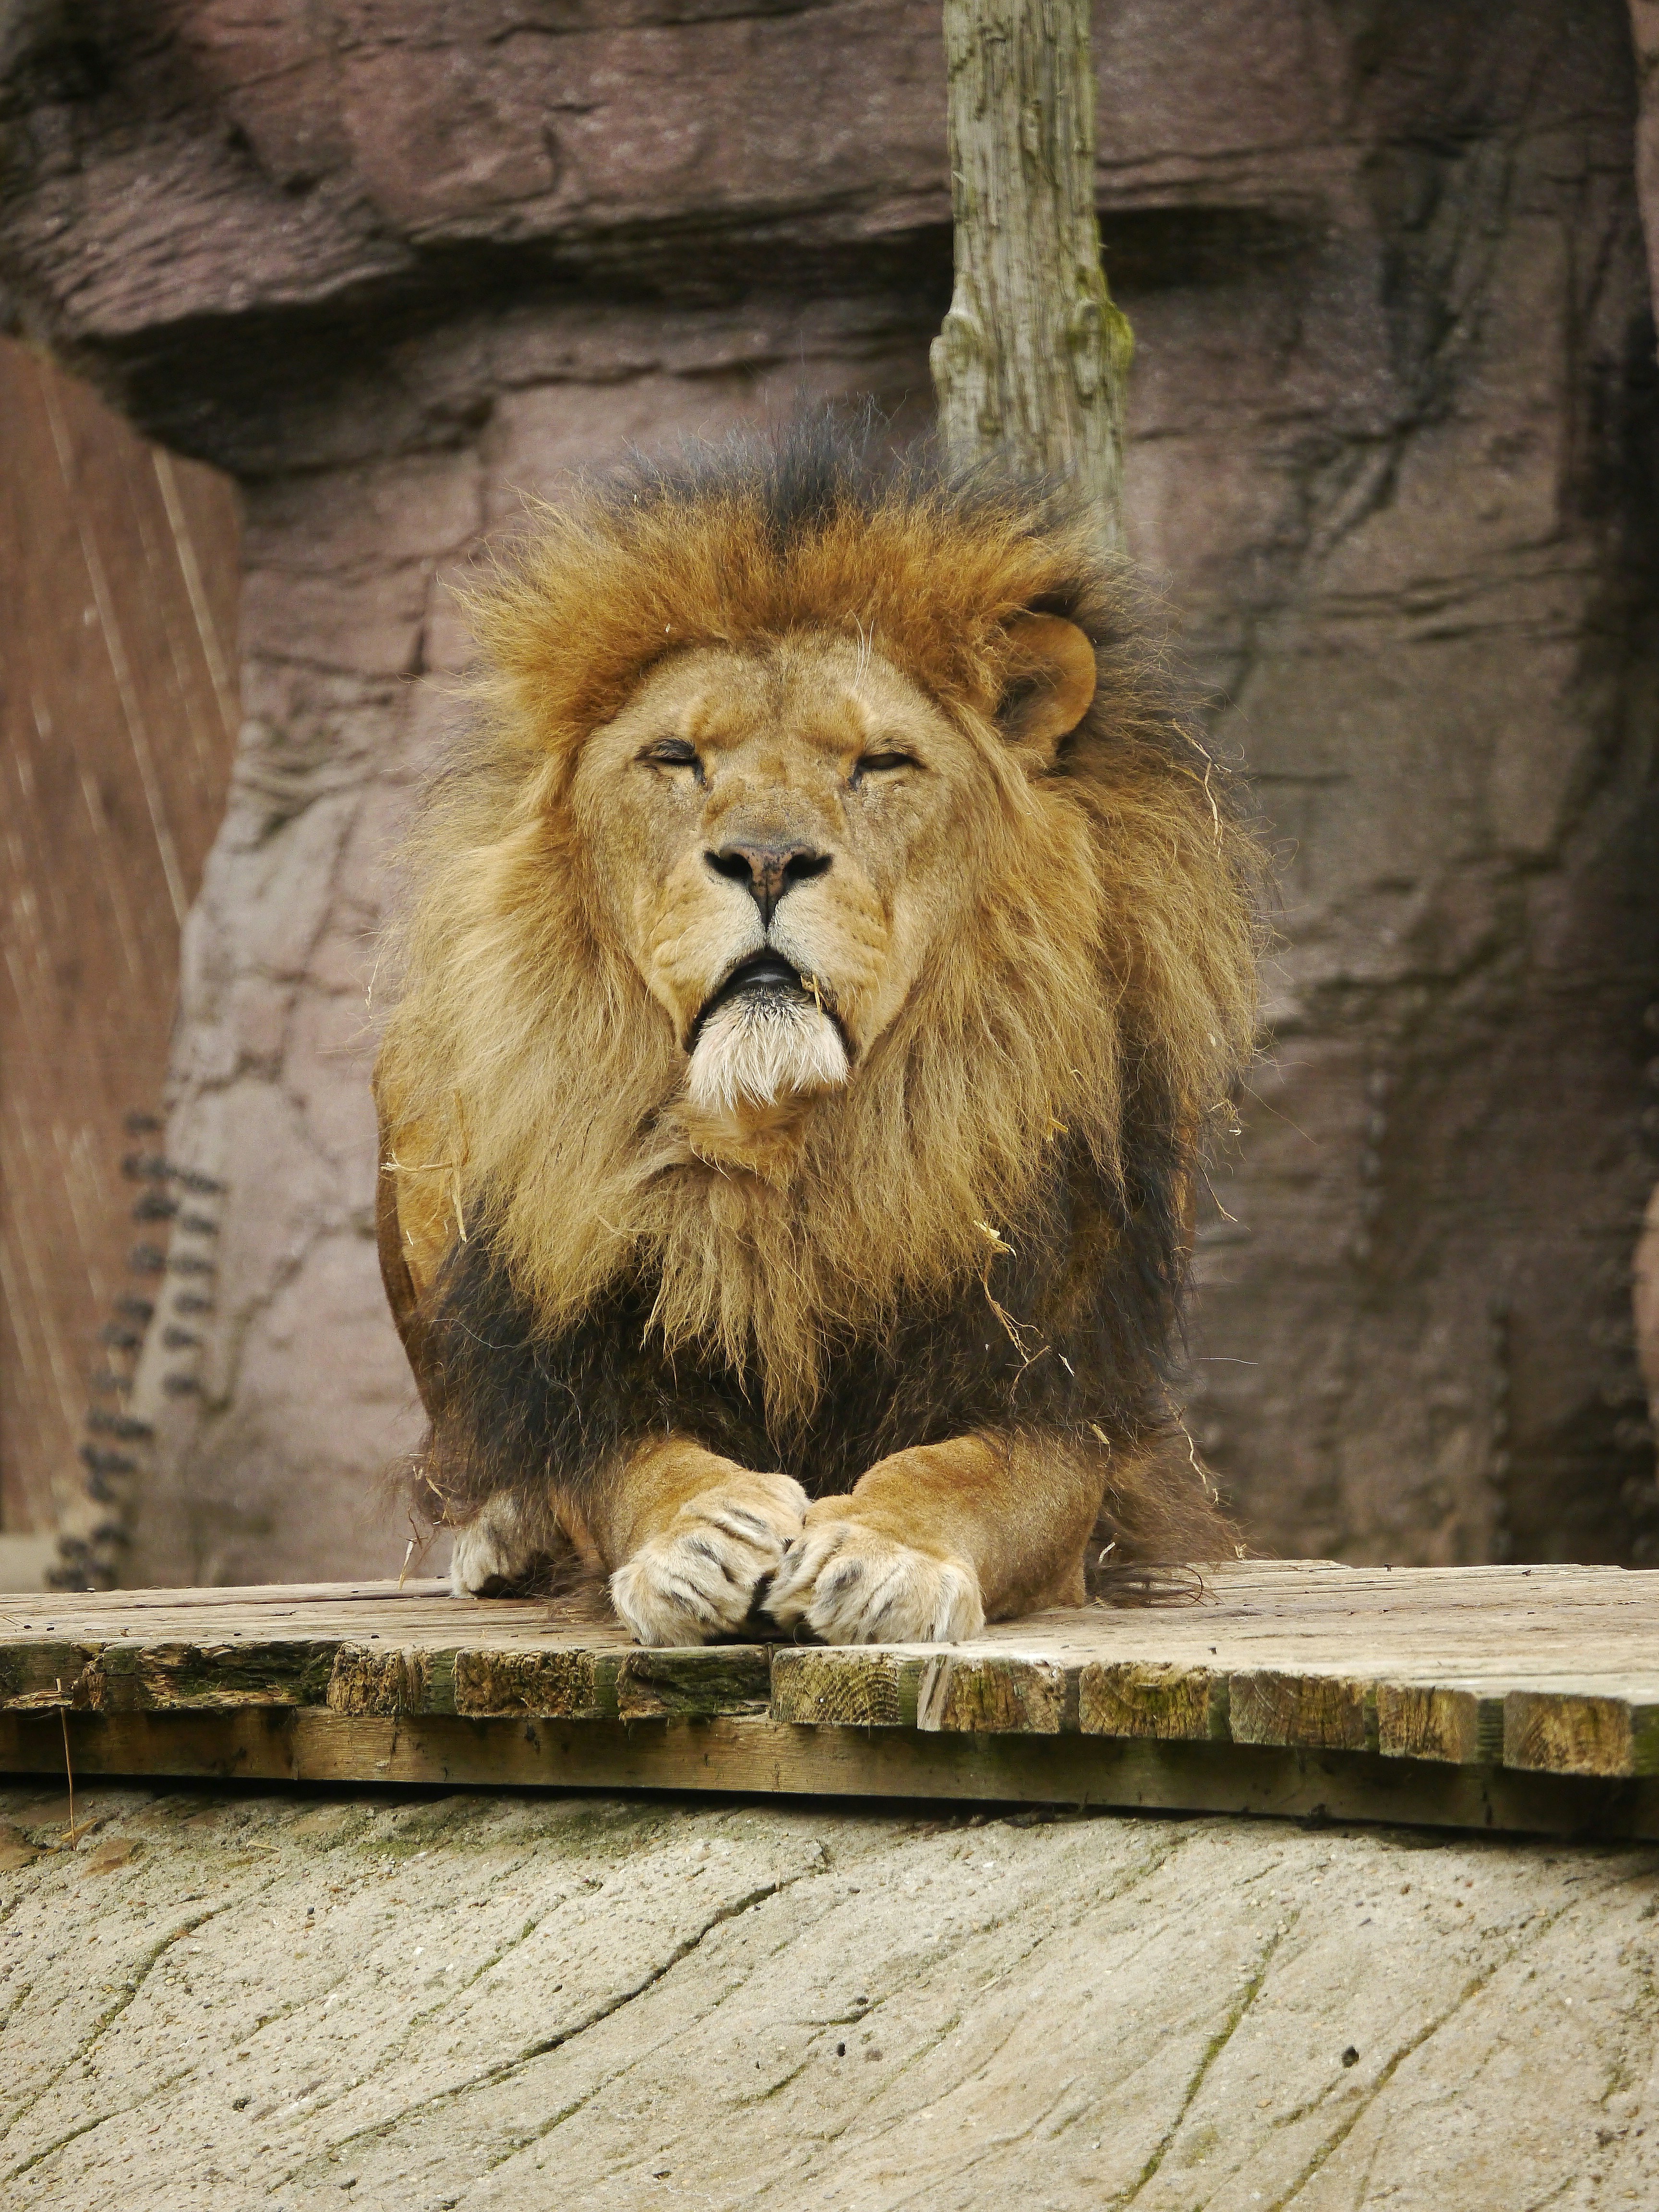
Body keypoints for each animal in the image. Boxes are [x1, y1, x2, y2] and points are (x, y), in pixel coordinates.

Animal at [374, 414, 1261, 1647]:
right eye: (675, 758)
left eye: (880, 762)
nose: (764, 858)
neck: (786, 1145)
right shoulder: (594, 1371)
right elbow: (631, 1467)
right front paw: (697, 1536)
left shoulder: (1055, 1390)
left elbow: (968, 1473)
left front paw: (882, 1556)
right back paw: (500, 1537)